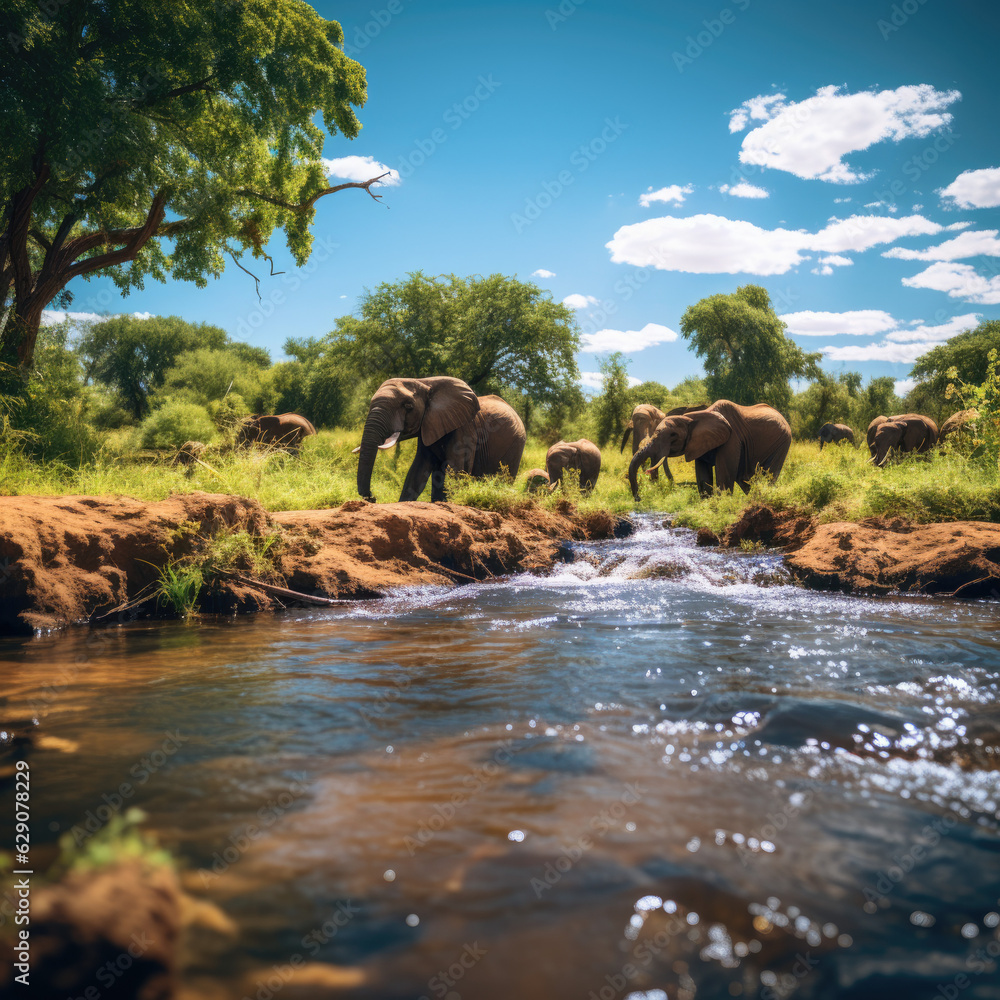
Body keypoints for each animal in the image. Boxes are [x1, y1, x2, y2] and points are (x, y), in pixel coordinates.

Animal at [355, 376, 526, 502]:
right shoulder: (427, 427)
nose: (373, 497)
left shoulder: (465, 430)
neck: (424, 382)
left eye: (408, 406)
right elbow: (418, 471)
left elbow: (457, 470)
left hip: (516, 444)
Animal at [628, 400, 791, 501]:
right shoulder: (700, 442)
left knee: (769, 475)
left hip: (782, 442)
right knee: (744, 478)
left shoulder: (732, 439)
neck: (693, 417)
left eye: (673, 435)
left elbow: (724, 477)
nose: (638, 499)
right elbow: (703, 477)